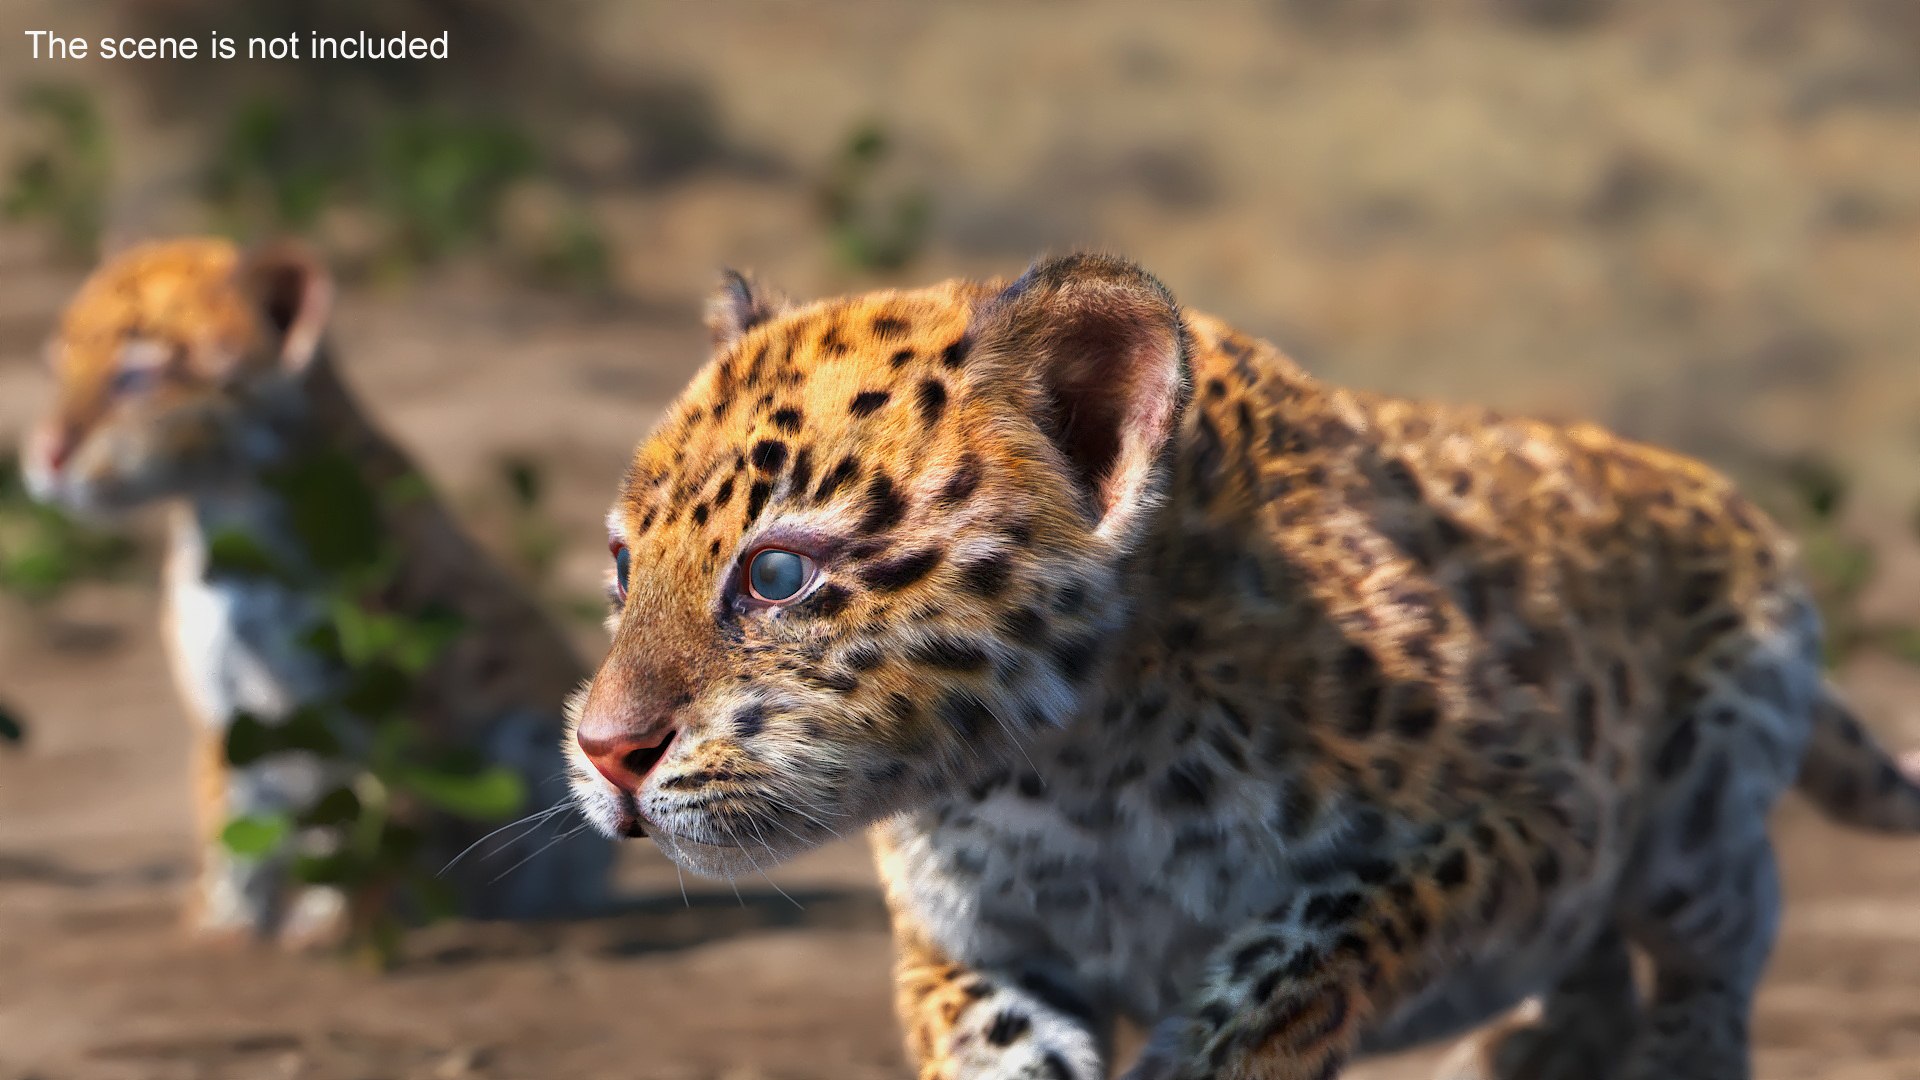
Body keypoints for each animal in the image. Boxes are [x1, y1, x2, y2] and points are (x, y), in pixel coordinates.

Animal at [21, 238, 614, 945]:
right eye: (58, 367)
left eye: (137, 376)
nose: (45, 456)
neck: (229, 513)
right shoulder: (227, 710)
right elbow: (232, 823)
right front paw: (220, 932)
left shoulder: (386, 703)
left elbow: (373, 817)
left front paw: (334, 931)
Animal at [565, 253, 1920, 1080]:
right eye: (622, 566)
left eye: (777, 576)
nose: (605, 752)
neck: (1067, 776)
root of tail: (1728, 499)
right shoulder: (969, 940)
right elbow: (996, 1042)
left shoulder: (1535, 810)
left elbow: (1309, 942)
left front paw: (1211, 1044)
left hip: (1695, 807)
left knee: (1726, 927)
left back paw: (1674, 1051)